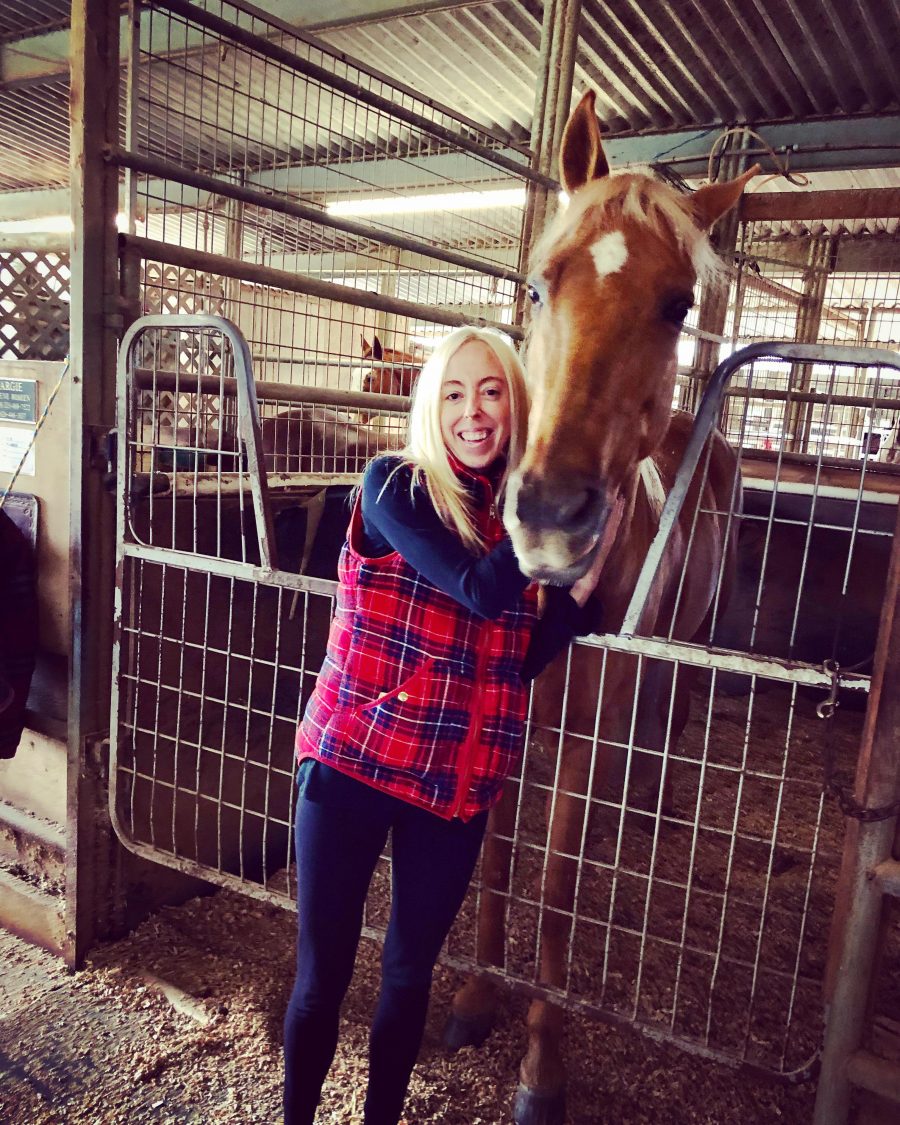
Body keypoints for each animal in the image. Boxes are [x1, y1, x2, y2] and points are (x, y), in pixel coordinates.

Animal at [445, 90, 758, 1125]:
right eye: (539, 283)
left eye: (680, 303)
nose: (549, 513)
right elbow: (497, 857)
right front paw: (476, 995)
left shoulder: (584, 734)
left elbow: (555, 879)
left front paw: (542, 1065)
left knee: (673, 714)